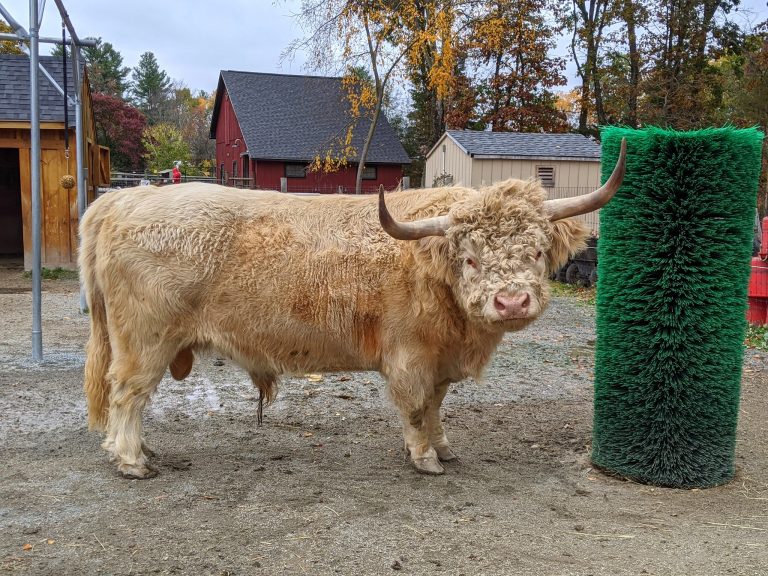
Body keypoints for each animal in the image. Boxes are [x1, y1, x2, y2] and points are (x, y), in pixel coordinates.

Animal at [80, 140, 626, 479]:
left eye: (535, 251)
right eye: (470, 257)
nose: (511, 302)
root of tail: (125, 200)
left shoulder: (440, 361)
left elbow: (437, 406)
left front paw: (444, 447)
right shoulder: (409, 358)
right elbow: (416, 406)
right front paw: (424, 457)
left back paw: (143, 449)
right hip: (145, 341)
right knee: (127, 394)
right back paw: (132, 460)